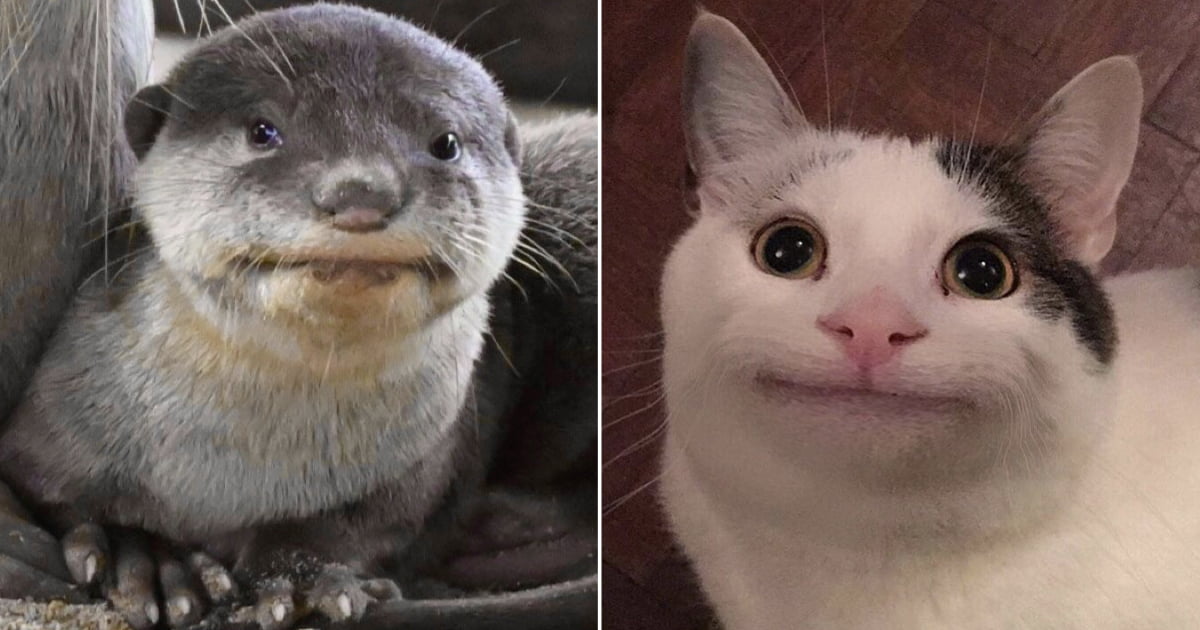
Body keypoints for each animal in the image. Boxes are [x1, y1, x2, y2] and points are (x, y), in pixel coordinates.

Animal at [0, 3, 595, 629]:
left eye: (446, 142)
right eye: (263, 130)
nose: (361, 194)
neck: (245, 469)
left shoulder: (429, 457)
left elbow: (368, 527)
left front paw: (297, 574)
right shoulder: (53, 420)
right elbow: (50, 490)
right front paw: (144, 554)